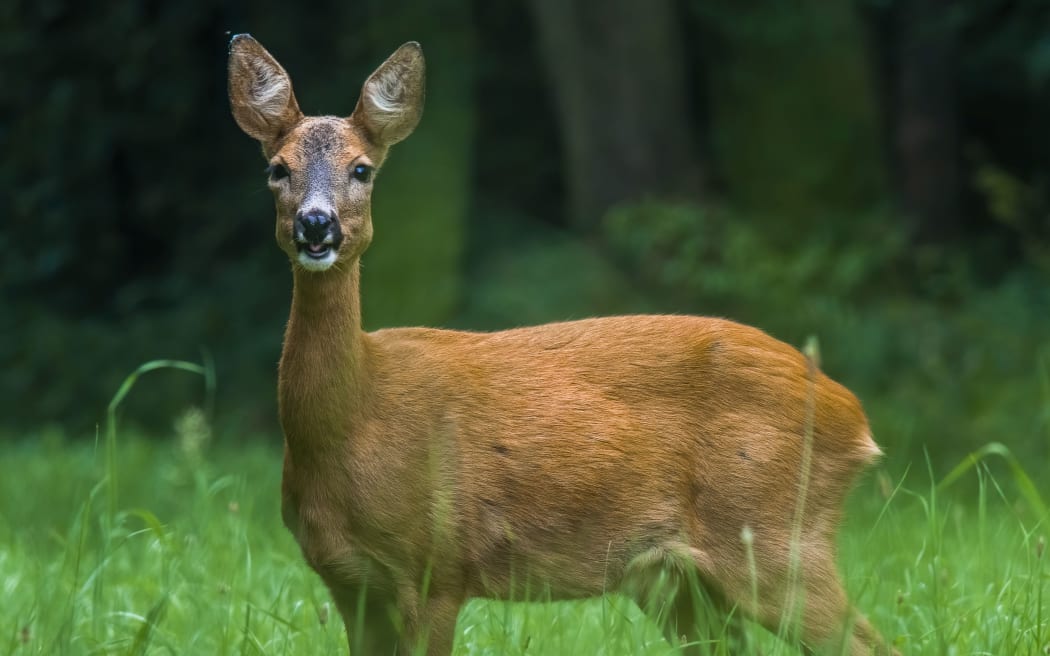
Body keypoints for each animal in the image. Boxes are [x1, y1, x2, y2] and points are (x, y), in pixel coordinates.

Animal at [228, 34, 897, 655]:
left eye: (362, 169)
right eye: (277, 168)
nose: (317, 224)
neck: (356, 419)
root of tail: (854, 418)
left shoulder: (439, 567)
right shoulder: (349, 582)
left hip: (774, 535)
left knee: (870, 642)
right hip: (675, 576)